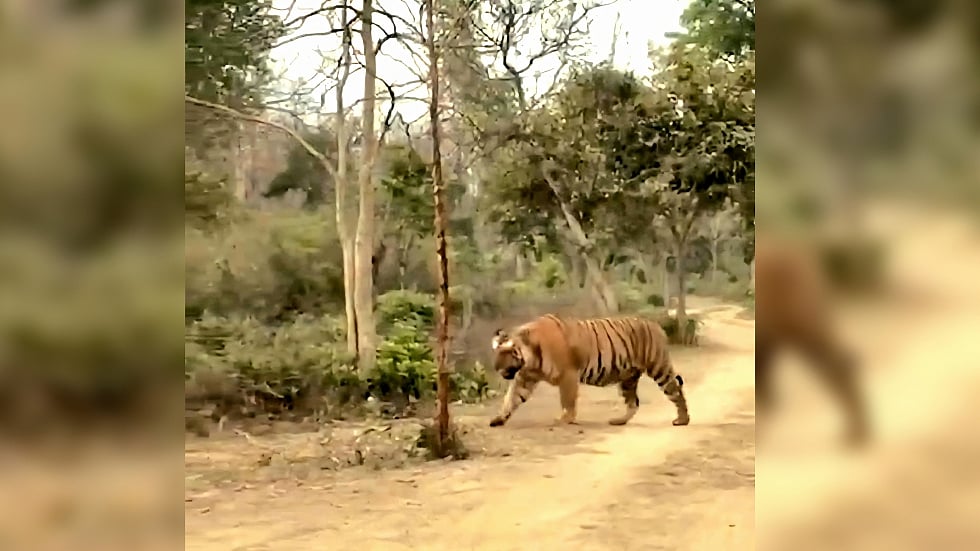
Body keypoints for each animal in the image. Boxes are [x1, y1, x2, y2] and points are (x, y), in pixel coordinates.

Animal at [488, 314, 690, 428]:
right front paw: (498, 419)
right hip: (628, 378)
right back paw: (618, 421)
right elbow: (511, 398)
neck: (530, 359)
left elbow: (567, 400)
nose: (497, 369)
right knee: (634, 403)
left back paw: (682, 420)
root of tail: (656, 325)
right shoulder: (525, 377)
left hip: (658, 367)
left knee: (675, 390)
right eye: (497, 352)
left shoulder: (568, 375)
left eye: (509, 351)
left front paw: (565, 420)